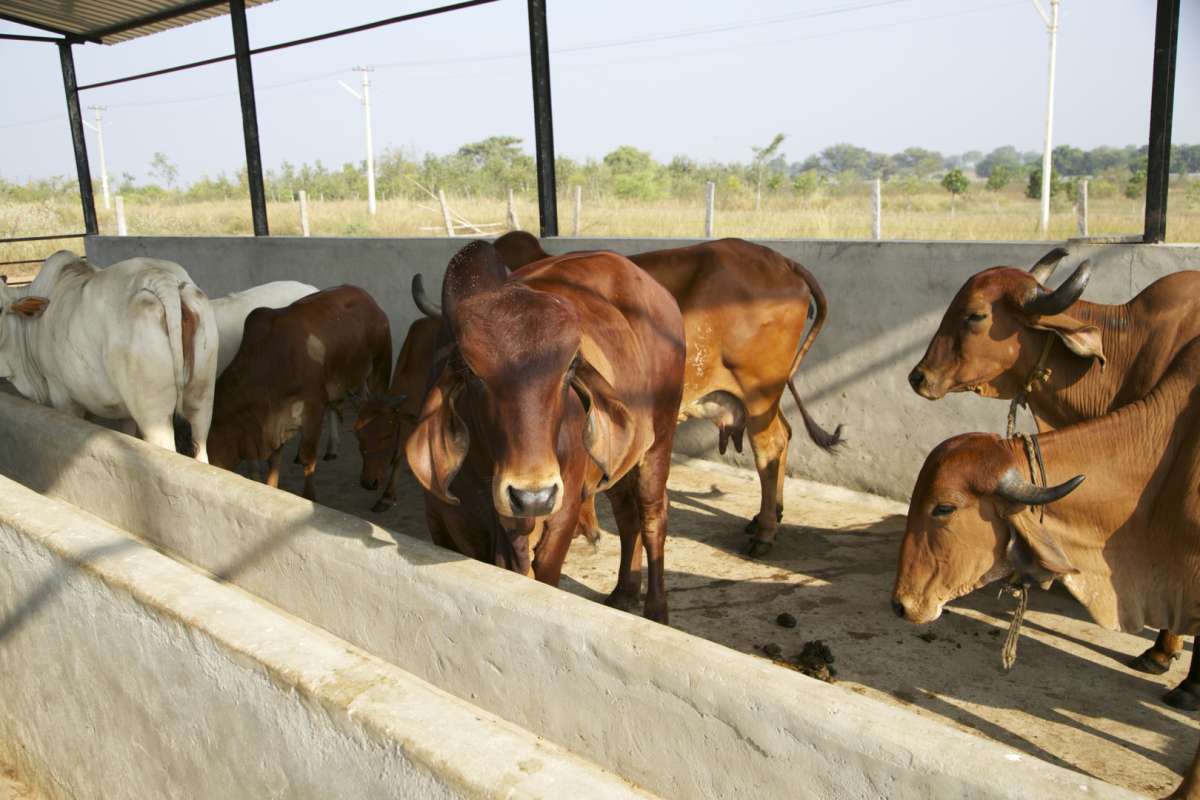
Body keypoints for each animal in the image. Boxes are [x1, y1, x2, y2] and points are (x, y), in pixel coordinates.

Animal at [0, 251, 217, 460]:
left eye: (0, 309)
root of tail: (160, 278)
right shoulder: (125, 413)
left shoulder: (61, 395)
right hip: (201, 400)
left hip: (154, 416)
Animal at [206, 285, 392, 501]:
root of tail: (367, 298)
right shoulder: (275, 422)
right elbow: (274, 462)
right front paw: (271, 488)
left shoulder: (314, 408)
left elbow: (307, 459)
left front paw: (309, 496)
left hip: (380, 370)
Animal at [405, 241, 686, 622]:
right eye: (470, 370)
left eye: (569, 367)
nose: (532, 497)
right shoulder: (445, 522)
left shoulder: (561, 517)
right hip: (613, 464)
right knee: (627, 514)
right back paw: (623, 593)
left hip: (659, 440)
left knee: (653, 514)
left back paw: (656, 610)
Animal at [482, 231, 843, 557]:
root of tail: (781, 261)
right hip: (759, 395)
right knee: (786, 432)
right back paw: (768, 517)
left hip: (758, 390)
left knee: (771, 446)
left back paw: (765, 532)